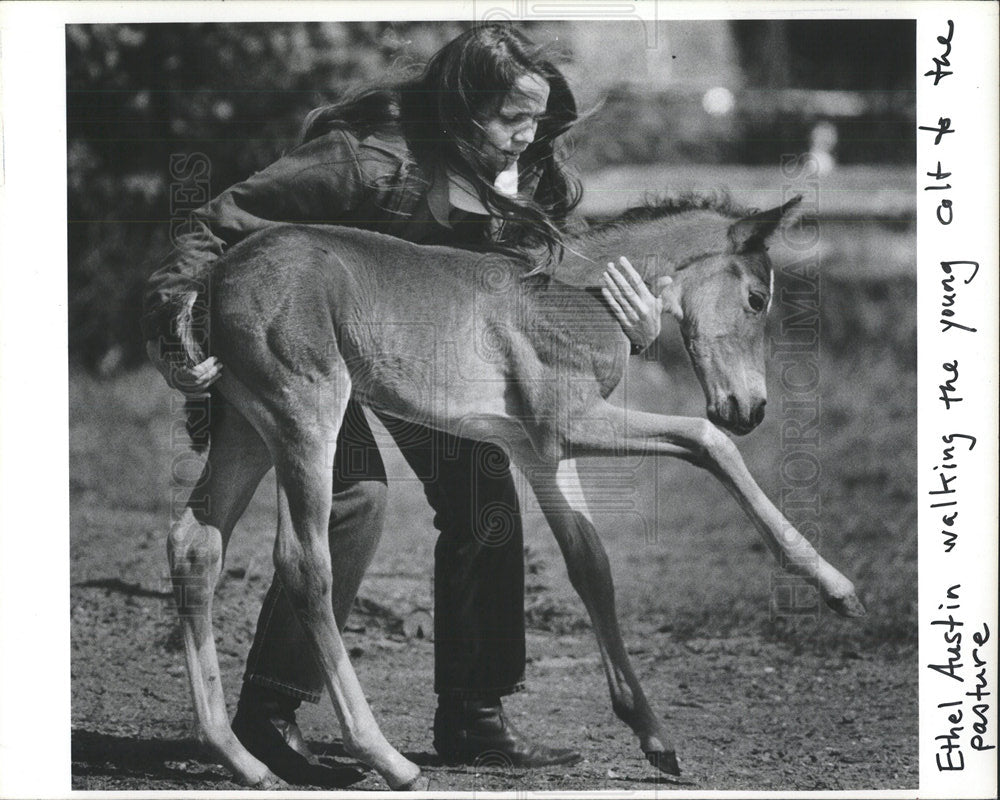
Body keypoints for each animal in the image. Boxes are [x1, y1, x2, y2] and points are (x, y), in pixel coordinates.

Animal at [163, 192, 865, 790]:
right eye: (756, 299)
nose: (751, 409)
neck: (585, 295)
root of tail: (213, 280)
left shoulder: (540, 452)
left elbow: (592, 567)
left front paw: (653, 735)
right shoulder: (570, 424)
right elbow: (707, 441)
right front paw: (837, 589)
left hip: (249, 430)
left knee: (195, 546)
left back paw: (239, 757)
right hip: (306, 413)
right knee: (305, 565)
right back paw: (384, 756)